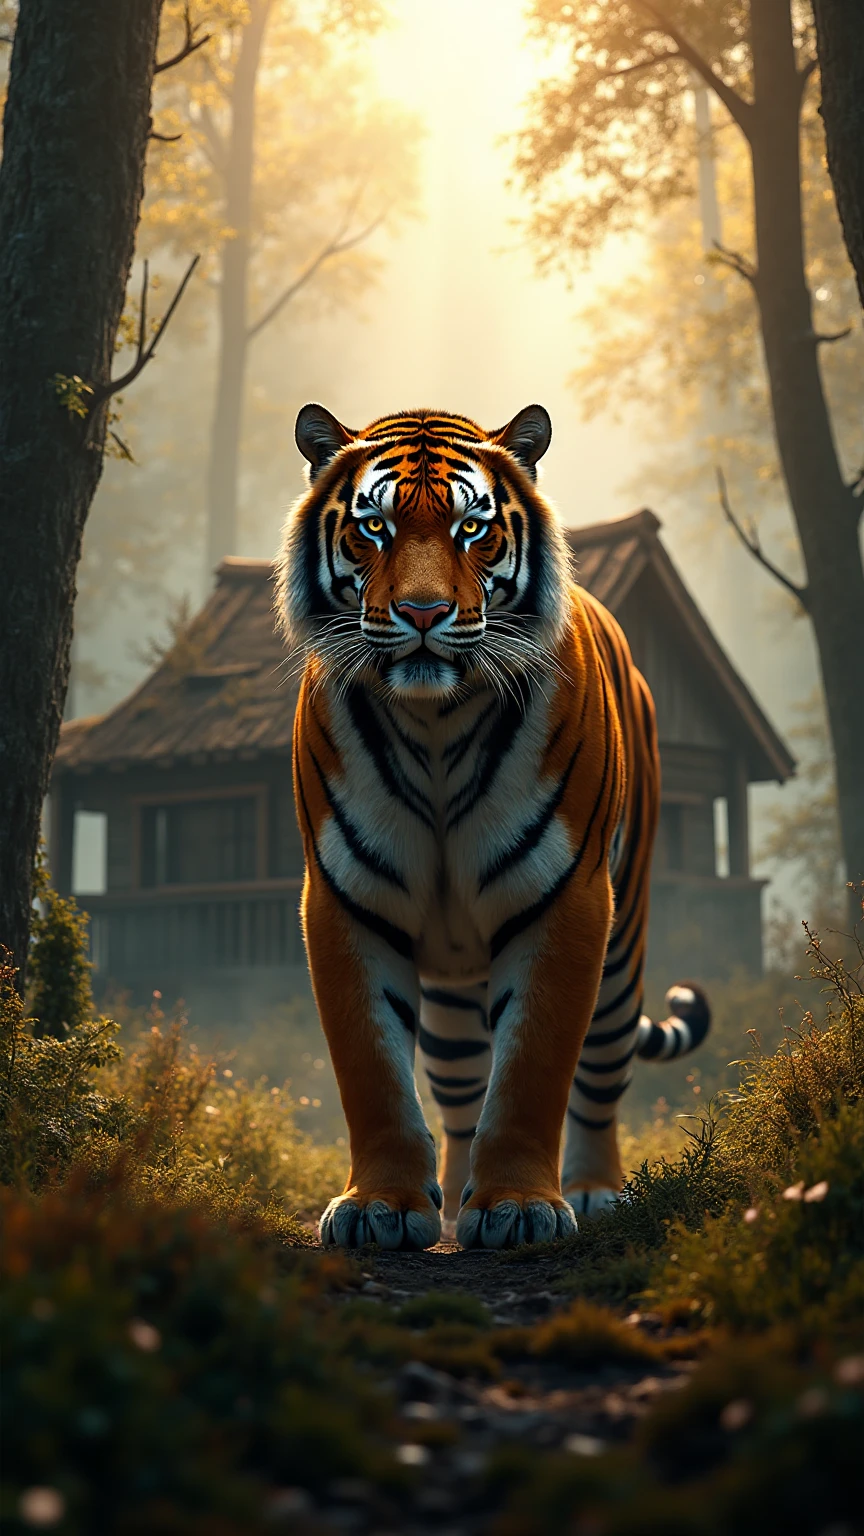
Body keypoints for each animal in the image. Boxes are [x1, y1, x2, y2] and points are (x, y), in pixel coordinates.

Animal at [277, 401, 711, 1251]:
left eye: (472, 528)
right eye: (372, 527)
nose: (421, 613)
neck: (436, 721)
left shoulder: (568, 899)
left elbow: (534, 1068)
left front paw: (519, 1206)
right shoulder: (346, 902)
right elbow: (372, 1068)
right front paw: (382, 1206)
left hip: (623, 946)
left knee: (601, 1074)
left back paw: (594, 1191)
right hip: (453, 995)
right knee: (458, 1089)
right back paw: (449, 1199)